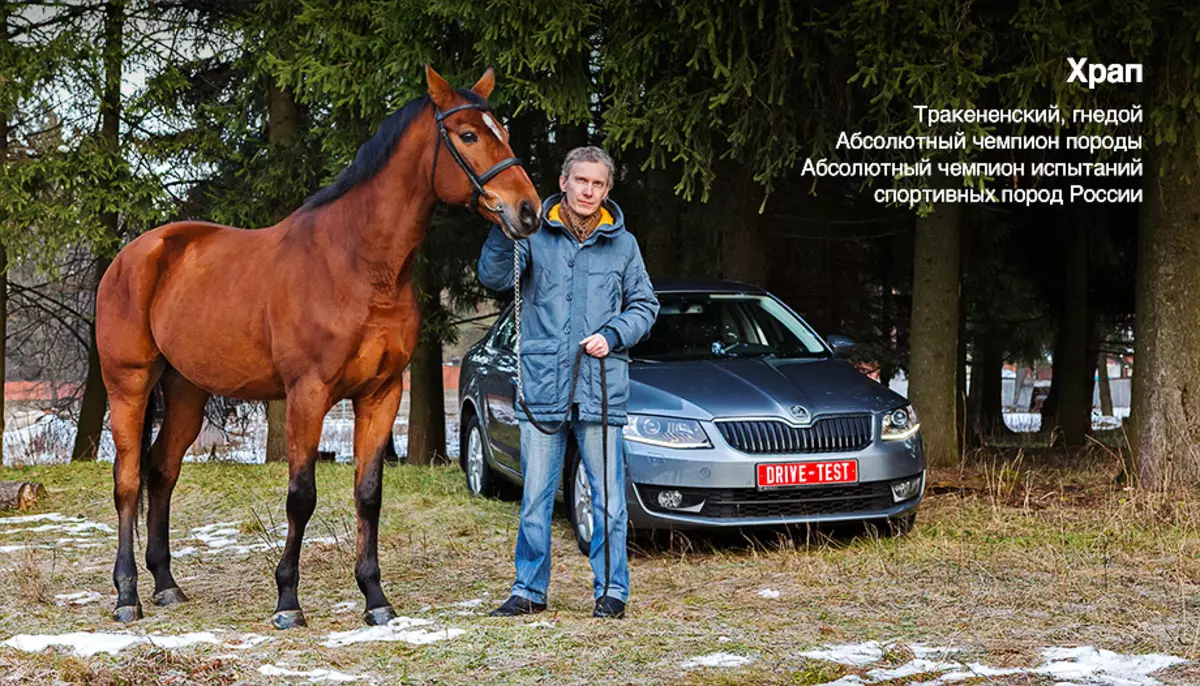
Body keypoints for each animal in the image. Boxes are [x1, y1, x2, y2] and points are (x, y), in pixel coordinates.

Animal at [96, 66, 542, 628]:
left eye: (501, 130)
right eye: (467, 135)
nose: (528, 211)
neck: (358, 263)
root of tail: (136, 252)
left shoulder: (381, 394)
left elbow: (368, 494)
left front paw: (375, 599)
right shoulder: (307, 395)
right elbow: (300, 496)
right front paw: (288, 601)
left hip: (186, 391)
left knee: (161, 471)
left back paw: (166, 584)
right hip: (128, 385)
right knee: (128, 480)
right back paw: (127, 595)